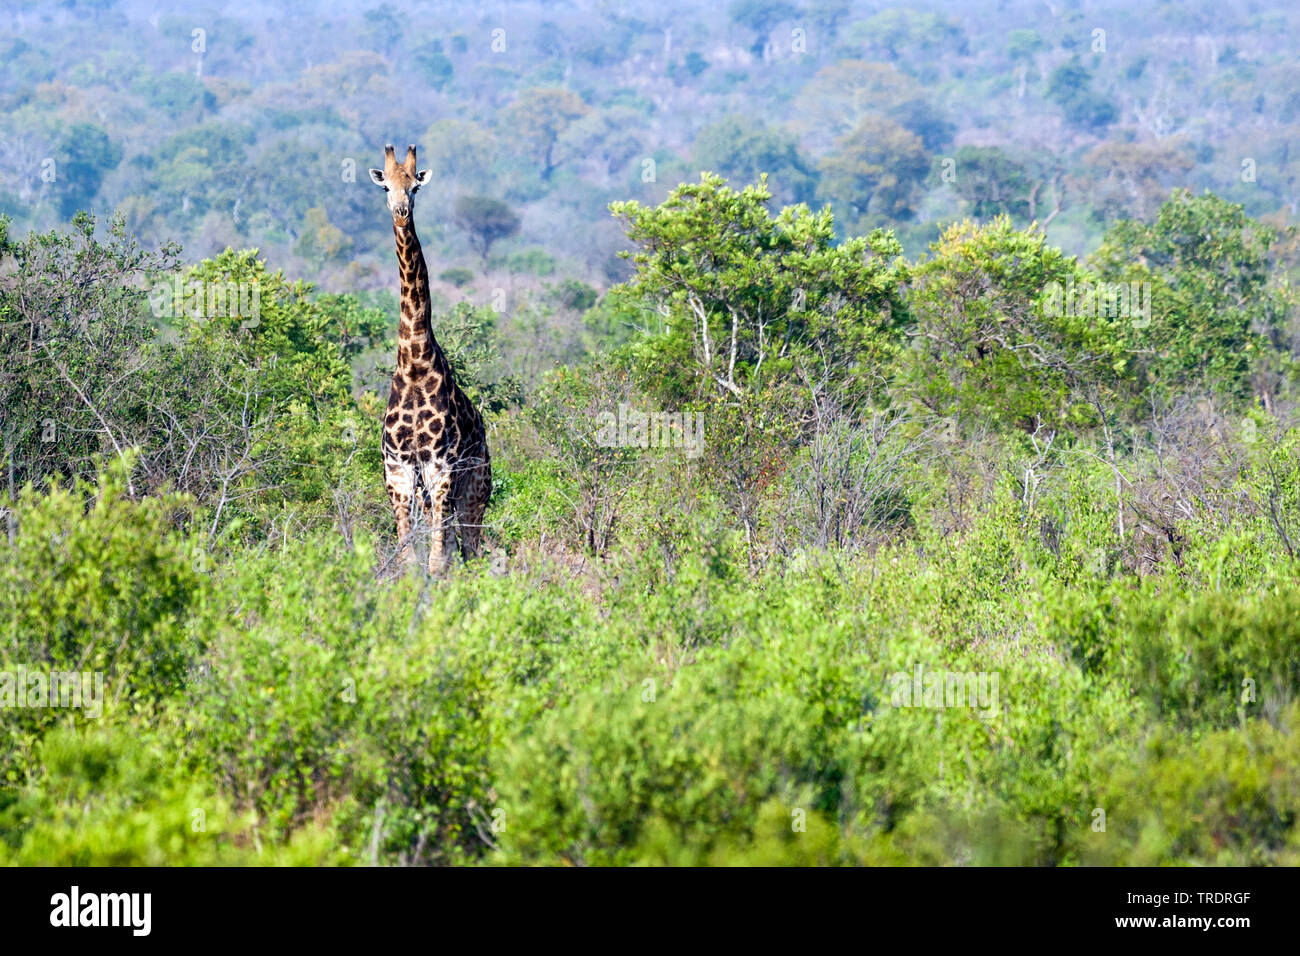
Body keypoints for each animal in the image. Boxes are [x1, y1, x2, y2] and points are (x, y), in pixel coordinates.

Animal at [368, 144, 491, 575]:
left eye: (415, 187)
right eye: (385, 186)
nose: (401, 212)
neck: (414, 363)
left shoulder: (441, 466)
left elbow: (438, 560)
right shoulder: (399, 470)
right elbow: (409, 554)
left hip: (476, 489)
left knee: (471, 547)